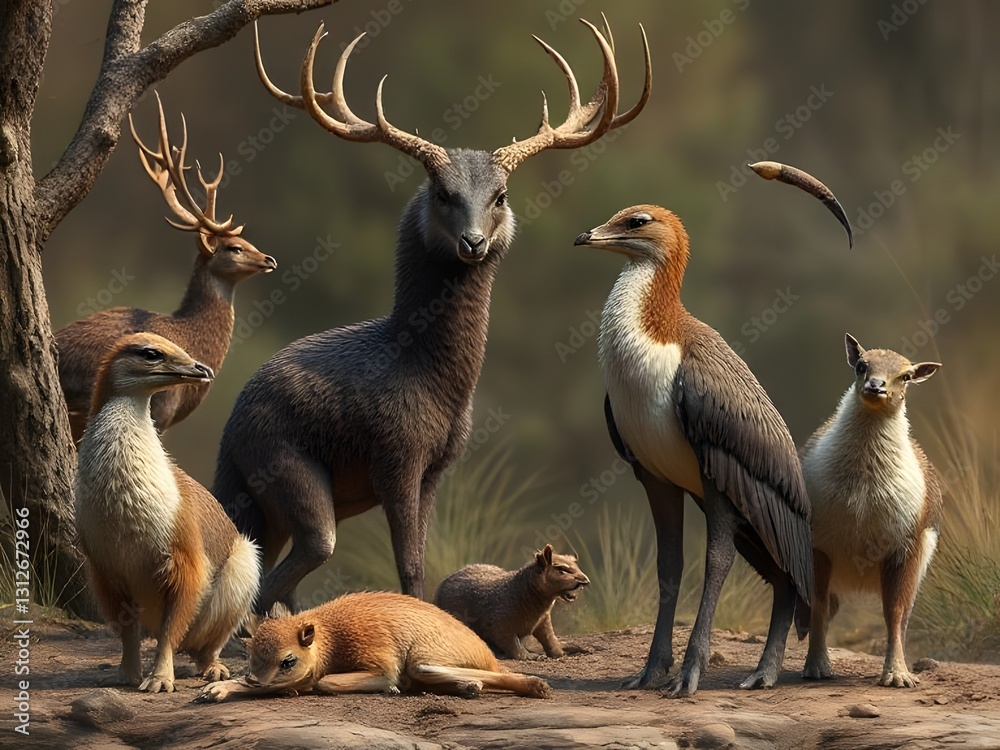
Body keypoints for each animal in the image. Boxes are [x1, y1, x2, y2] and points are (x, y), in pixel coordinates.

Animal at [212, 17, 651, 616]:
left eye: (500, 195)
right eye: (443, 194)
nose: (473, 241)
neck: (427, 373)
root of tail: (229, 431)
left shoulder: (437, 469)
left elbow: (418, 558)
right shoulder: (396, 457)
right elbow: (410, 564)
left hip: (260, 499)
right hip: (282, 465)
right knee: (295, 561)